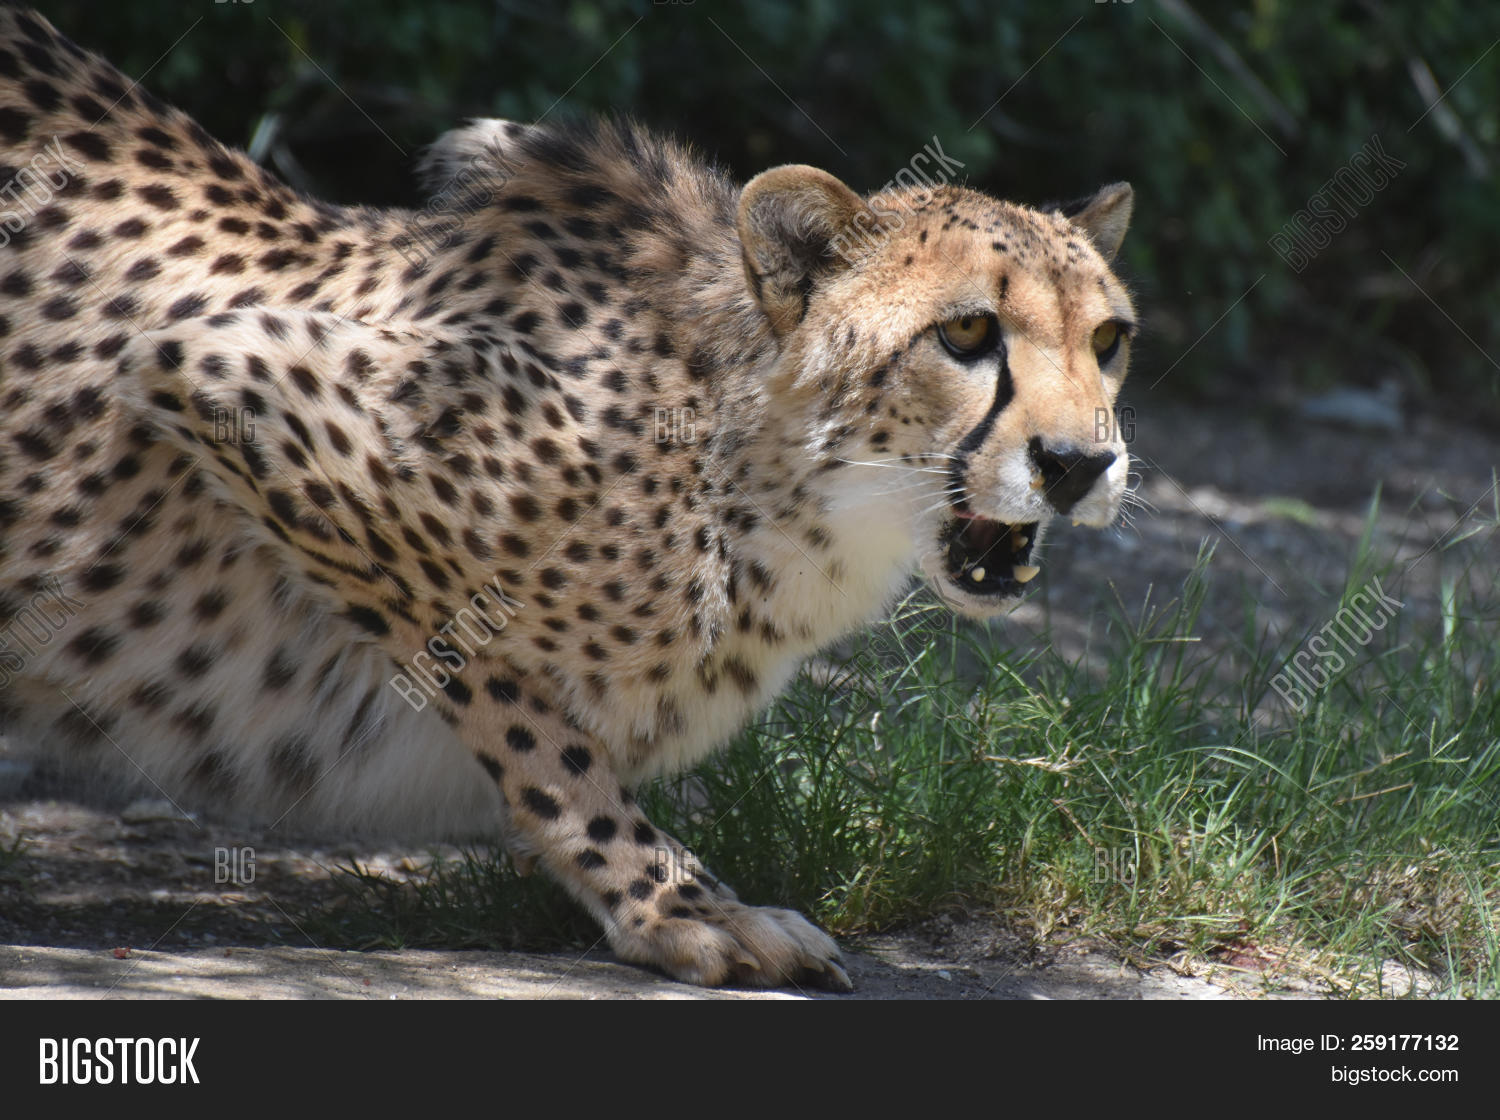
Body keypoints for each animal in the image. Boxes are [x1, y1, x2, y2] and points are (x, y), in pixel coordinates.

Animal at [0, 8, 1137, 990]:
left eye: (1109, 339)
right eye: (967, 331)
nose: (1081, 463)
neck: (758, 478)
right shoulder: (226, 369)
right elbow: (527, 717)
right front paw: (675, 904)